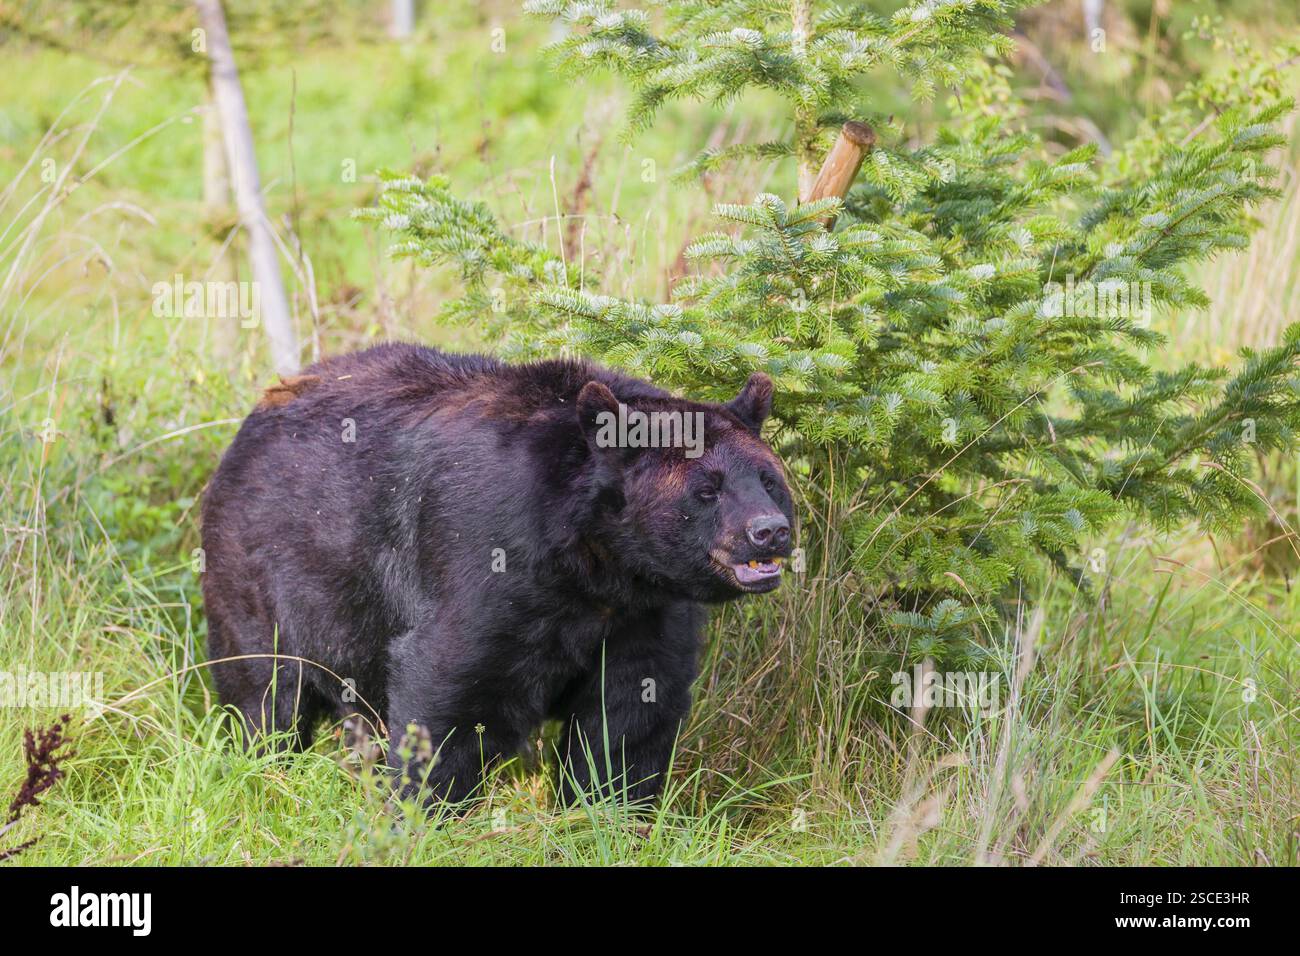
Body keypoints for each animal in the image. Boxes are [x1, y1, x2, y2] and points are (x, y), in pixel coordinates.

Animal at [200, 343, 793, 806]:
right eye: (707, 489)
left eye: (768, 479)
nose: (770, 531)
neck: (598, 566)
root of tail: (260, 408)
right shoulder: (489, 560)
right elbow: (449, 688)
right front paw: (422, 809)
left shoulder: (645, 613)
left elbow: (629, 714)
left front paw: (609, 811)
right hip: (266, 574)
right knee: (265, 692)